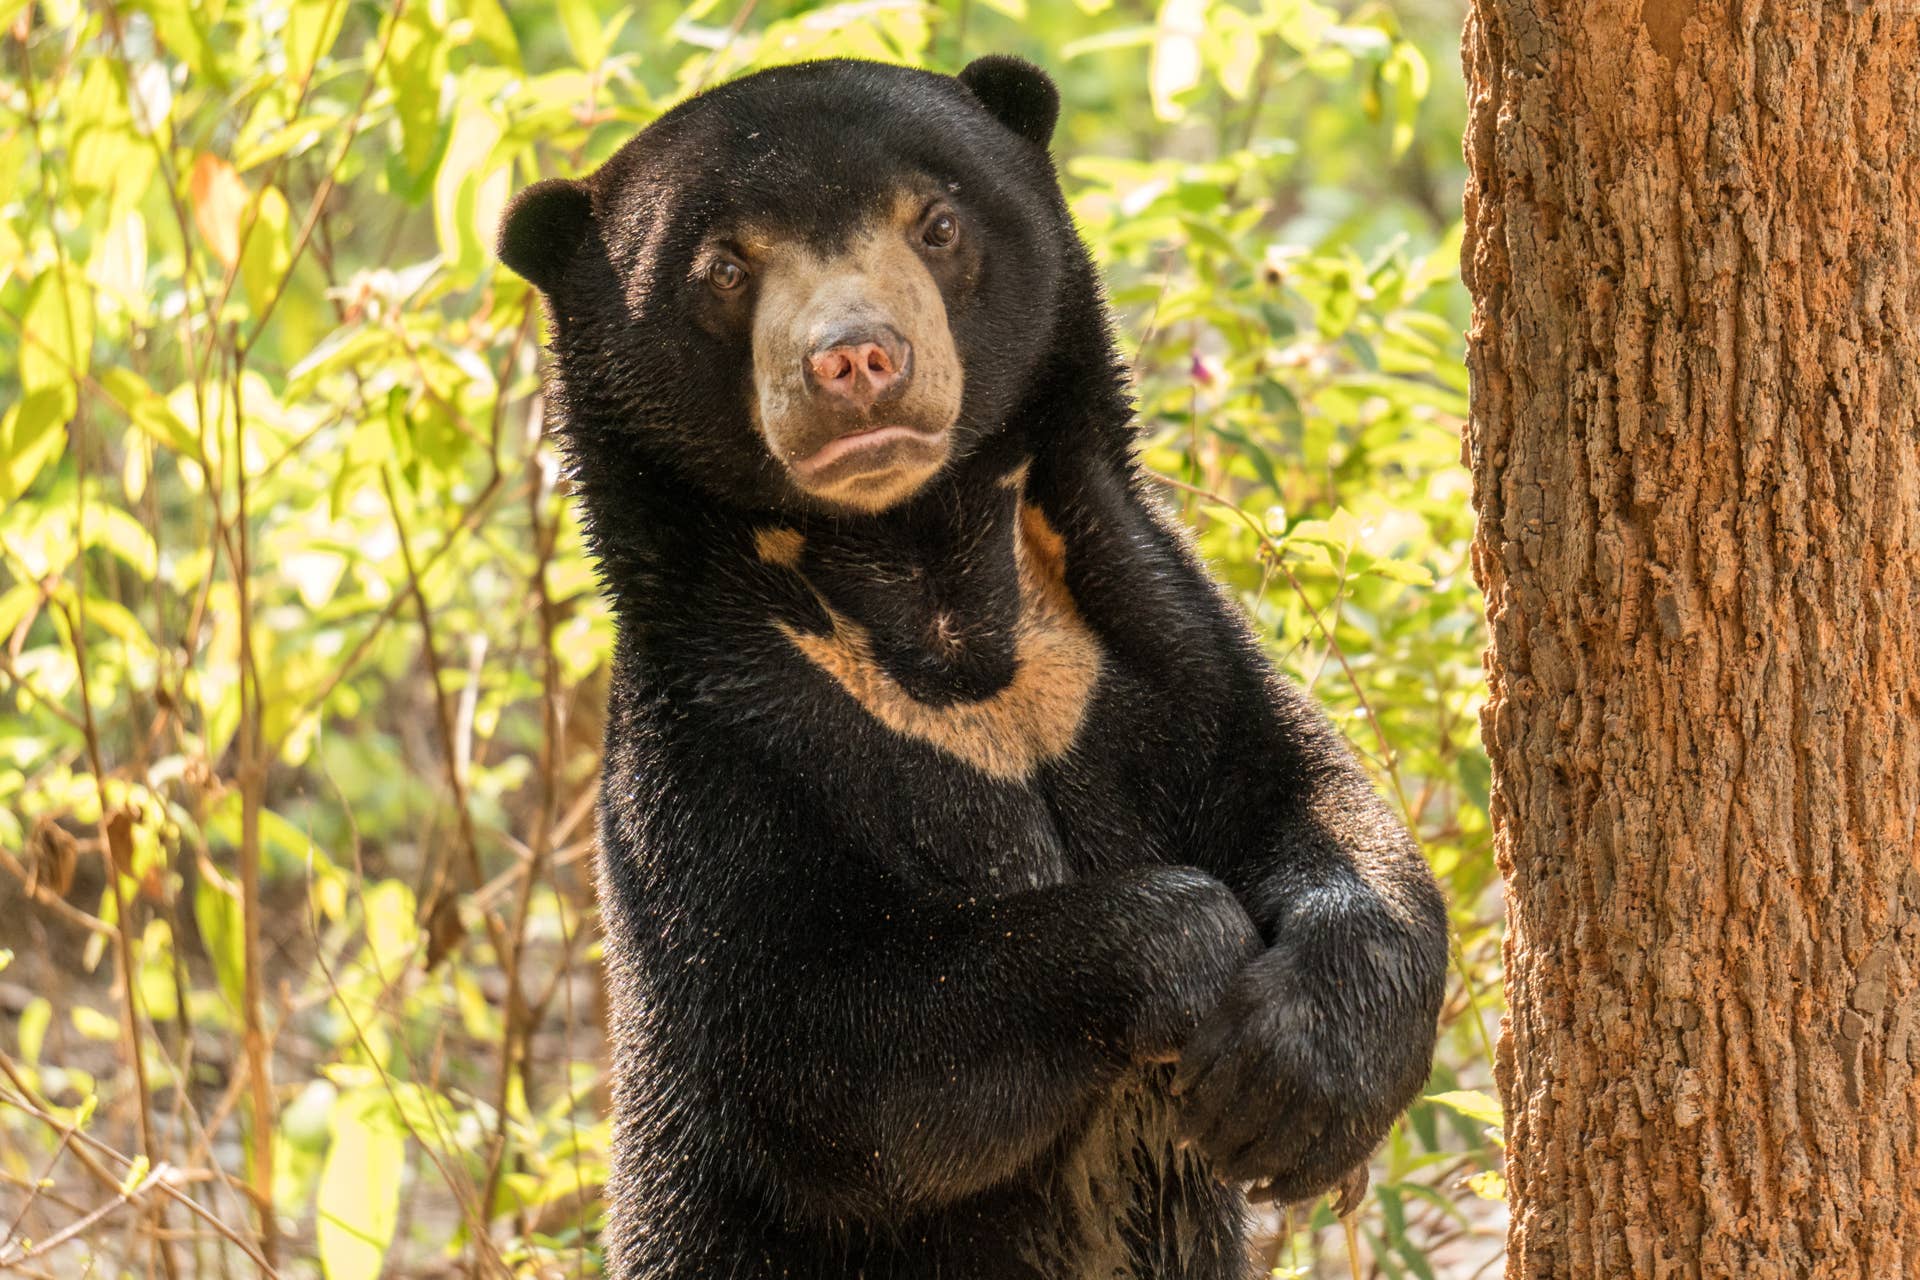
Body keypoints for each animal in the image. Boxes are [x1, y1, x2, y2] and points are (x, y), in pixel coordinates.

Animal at [496, 56, 1449, 1280]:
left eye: (936, 222)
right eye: (724, 266)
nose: (856, 359)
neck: (930, 590)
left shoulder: (1143, 623)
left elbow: (1310, 789)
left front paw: (1291, 1082)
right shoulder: (716, 745)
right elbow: (816, 1047)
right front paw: (1188, 946)